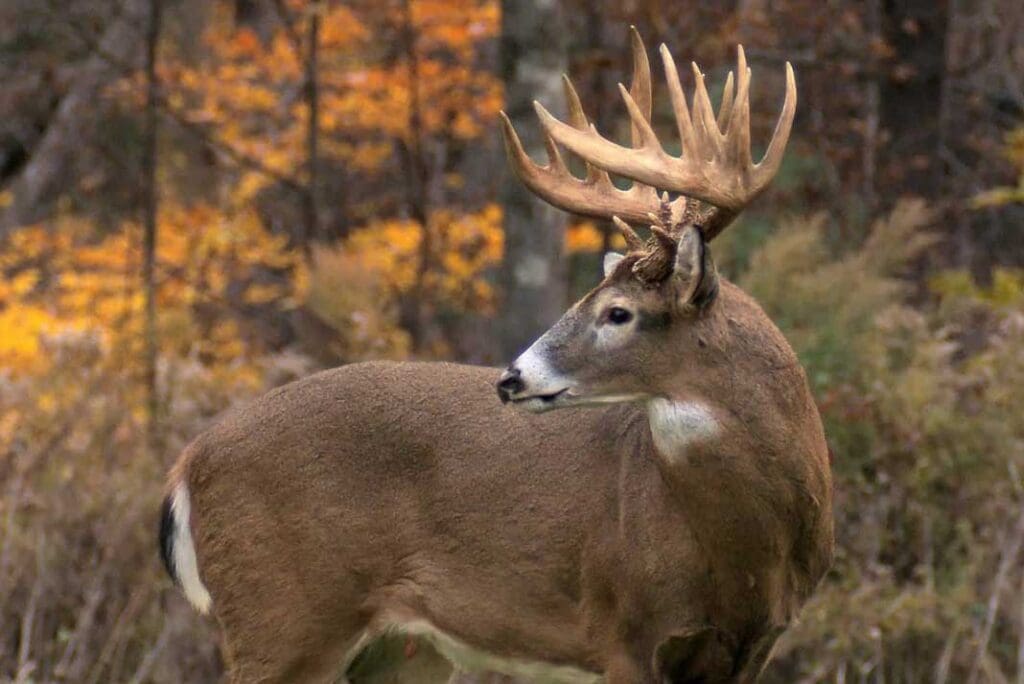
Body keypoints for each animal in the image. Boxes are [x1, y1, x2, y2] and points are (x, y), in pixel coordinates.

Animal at [159, 29, 833, 683]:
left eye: (617, 312)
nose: (512, 378)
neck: (749, 554)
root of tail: (187, 465)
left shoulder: (756, 643)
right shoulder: (624, 632)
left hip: (399, 650)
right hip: (282, 617)